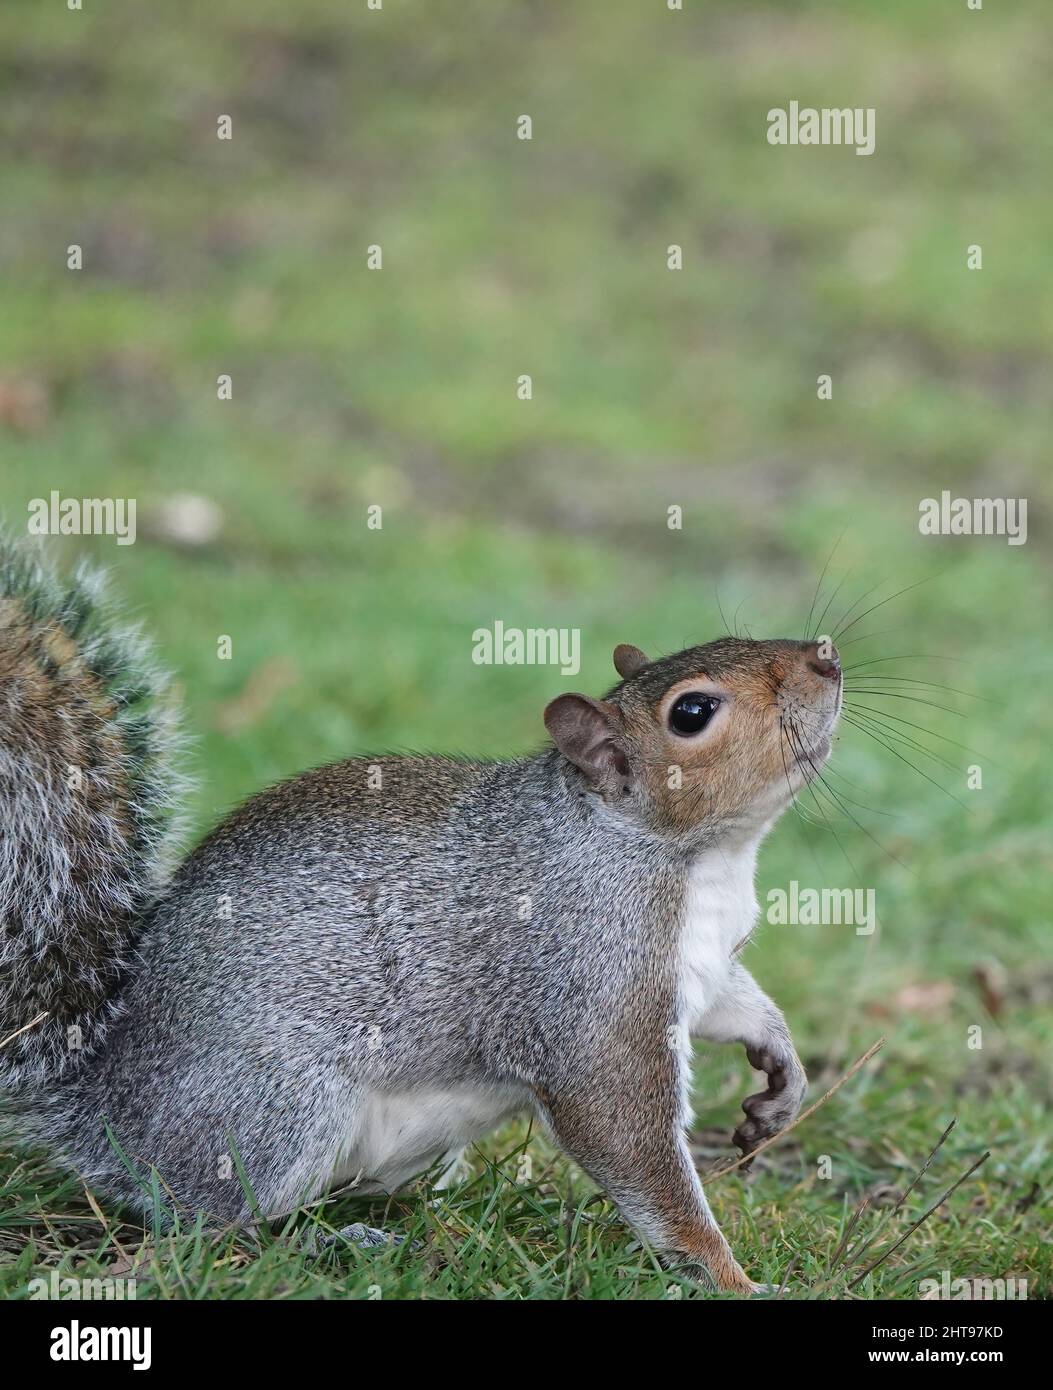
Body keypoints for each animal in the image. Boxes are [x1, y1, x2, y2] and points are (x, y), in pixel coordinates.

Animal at [0, 537, 842, 1295]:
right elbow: (624, 1136)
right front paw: (730, 1277)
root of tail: (104, 1101)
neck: (691, 856)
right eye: (693, 711)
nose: (826, 656)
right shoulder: (590, 988)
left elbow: (737, 1002)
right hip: (276, 1104)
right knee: (205, 1222)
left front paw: (781, 1076)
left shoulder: (703, 962)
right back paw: (322, 1242)